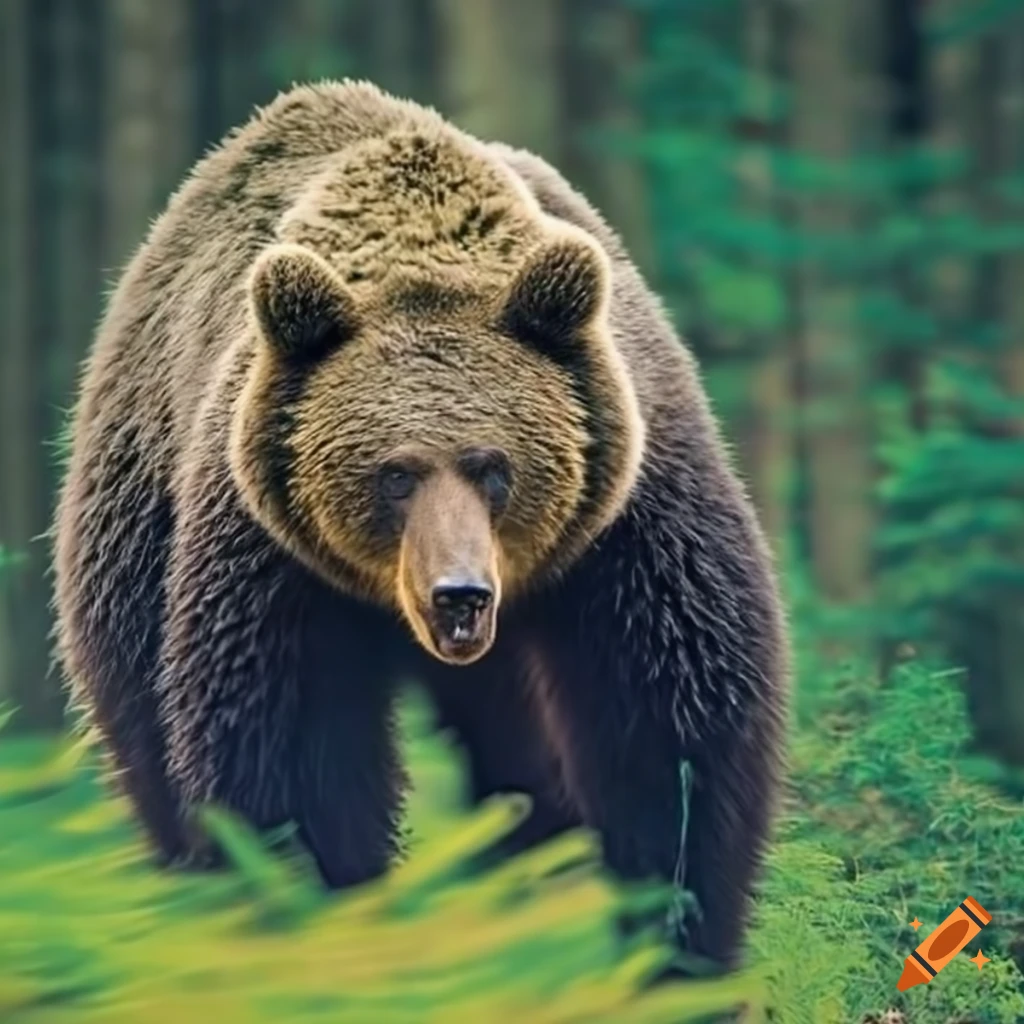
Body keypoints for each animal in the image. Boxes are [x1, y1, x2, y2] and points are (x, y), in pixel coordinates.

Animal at [52, 80, 789, 970]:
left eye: (495, 465)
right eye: (394, 474)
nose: (459, 594)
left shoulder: (629, 515)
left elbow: (671, 727)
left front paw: (673, 945)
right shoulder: (271, 555)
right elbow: (291, 754)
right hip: (135, 527)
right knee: (146, 734)